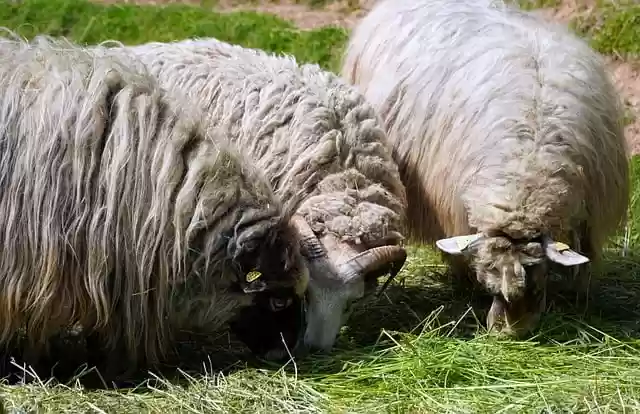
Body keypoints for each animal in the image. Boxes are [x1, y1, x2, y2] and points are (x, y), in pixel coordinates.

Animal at [340, 0, 630, 337]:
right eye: (489, 279)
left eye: (535, 275)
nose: (510, 333)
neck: (526, 172)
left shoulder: (590, 213)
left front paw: (578, 300)